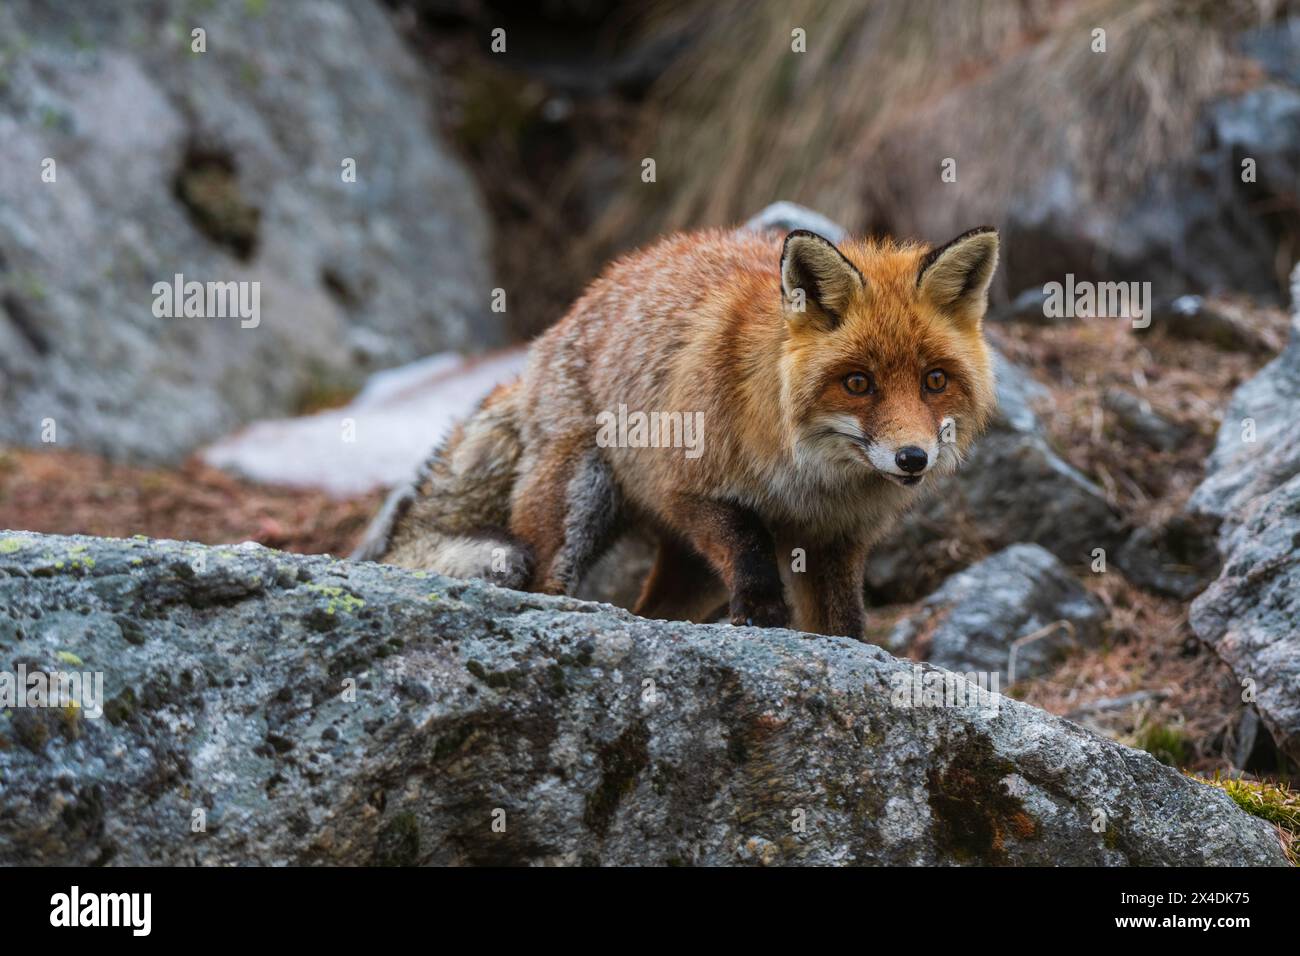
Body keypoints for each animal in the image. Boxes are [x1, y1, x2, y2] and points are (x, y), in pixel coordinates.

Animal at [354, 224, 998, 639]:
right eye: (859, 383)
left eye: (935, 380)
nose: (913, 458)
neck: (811, 481)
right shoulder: (694, 491)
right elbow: (748, 549)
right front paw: (761, 615)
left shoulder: (838, 539)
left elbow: (843, 621)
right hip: (579, 503)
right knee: (546, 581)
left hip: (689, 573)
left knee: (652, 609)